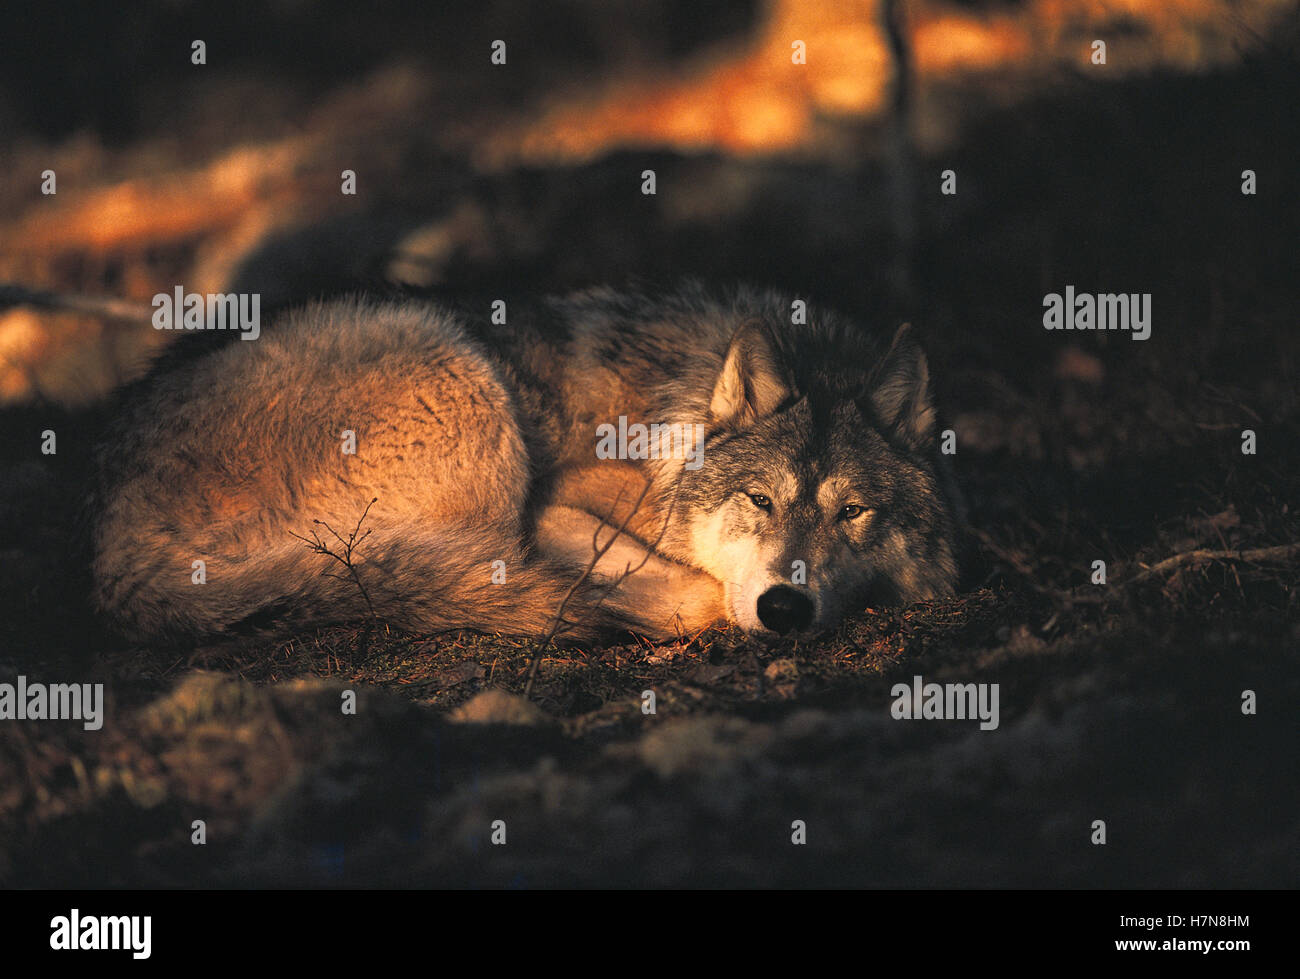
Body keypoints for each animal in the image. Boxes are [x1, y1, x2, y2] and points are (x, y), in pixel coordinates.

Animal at [91, 283, 961, 645]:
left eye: (853, 512)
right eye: (760, 500)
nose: (784, 607)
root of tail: (104, 540)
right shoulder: (554, 503)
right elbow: (705, 592)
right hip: (461, 377)